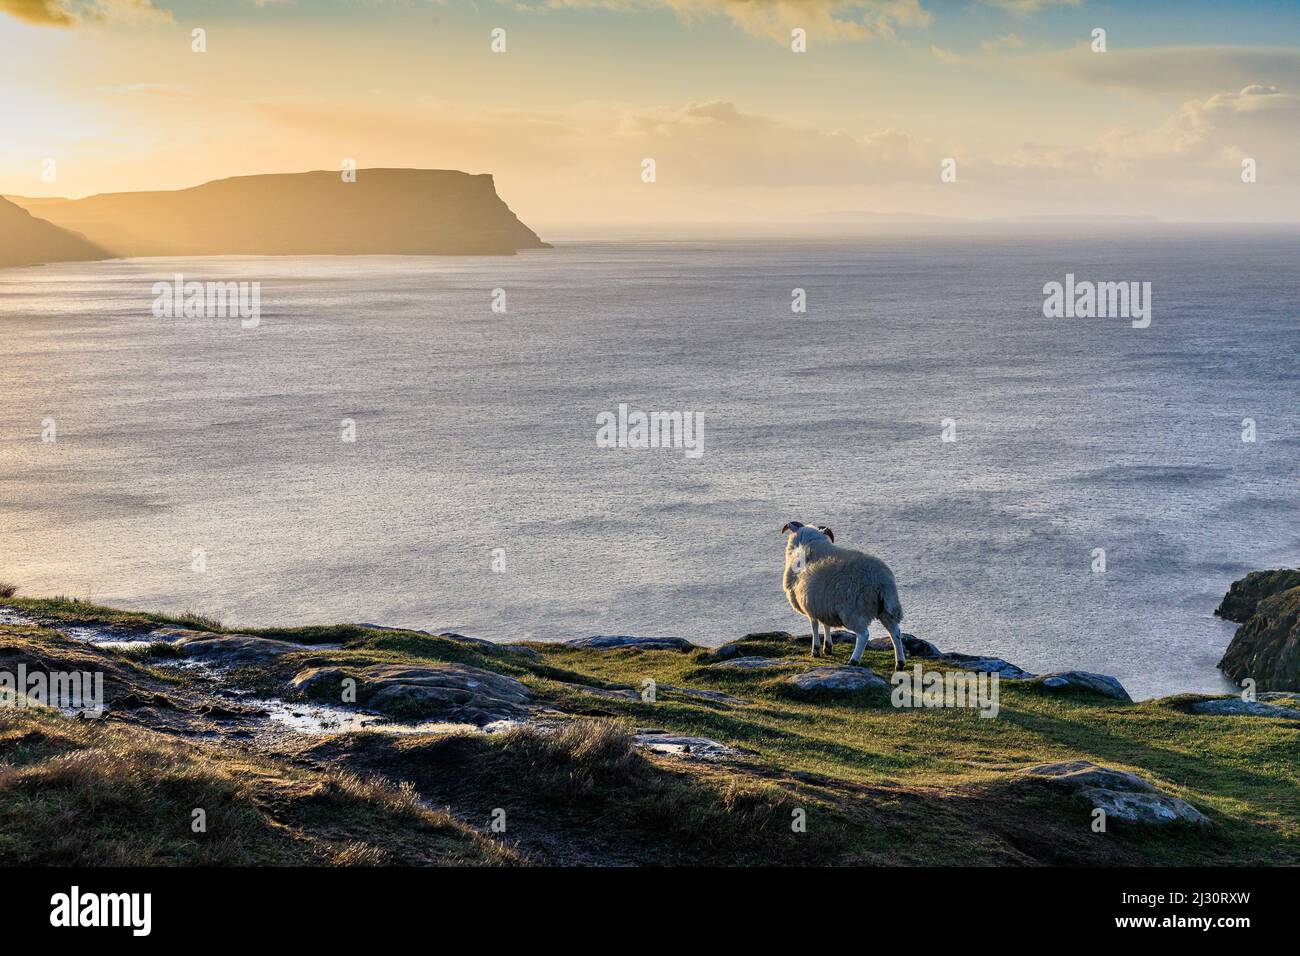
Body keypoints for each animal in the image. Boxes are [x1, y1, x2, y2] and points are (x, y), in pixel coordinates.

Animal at [781, 521, 907, 671]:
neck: (807, 546)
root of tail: (882, 578)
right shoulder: (823, 604)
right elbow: (826, 624)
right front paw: (827, 648)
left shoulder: (810, 605)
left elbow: (814, 625)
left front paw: (815, 650)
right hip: (885, 609)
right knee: (895, 633)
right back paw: (899, 663)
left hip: (854, 611)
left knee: (864, 635)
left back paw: (853, 660)